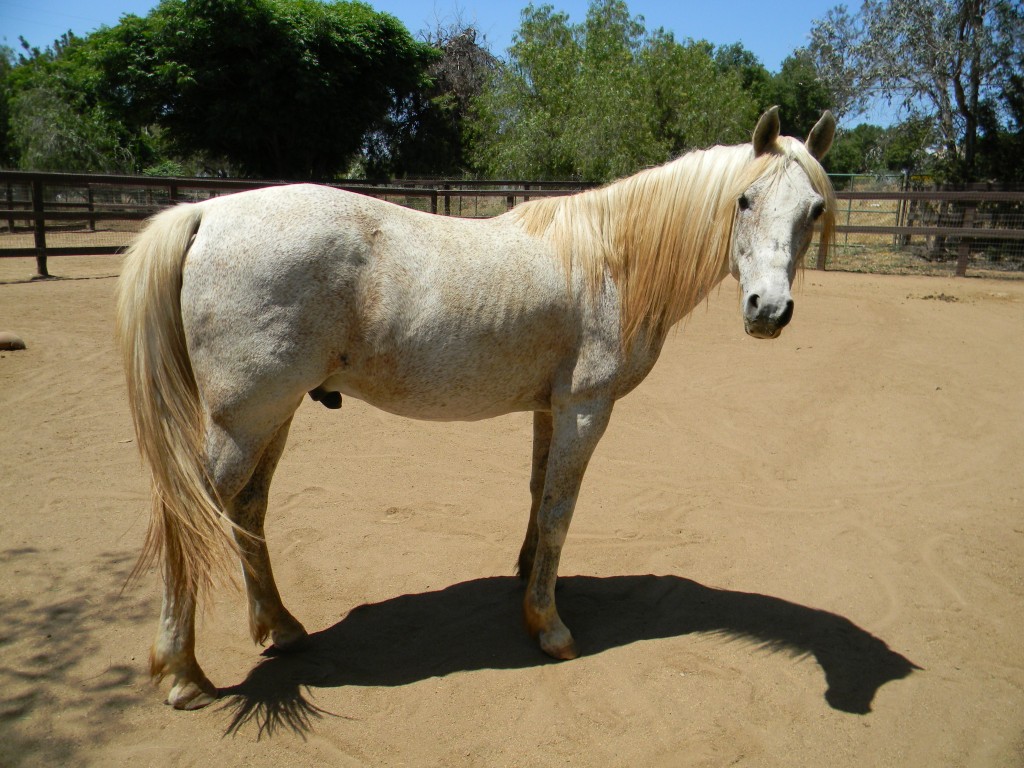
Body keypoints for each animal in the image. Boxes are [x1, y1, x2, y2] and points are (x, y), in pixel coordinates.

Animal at [116, 107, 836, 709]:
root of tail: (207, 215)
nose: (769, 311)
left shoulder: (551, 408)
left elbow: (539, 496)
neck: (611, 260)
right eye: (744, 199)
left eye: (814, 209)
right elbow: (560, 511)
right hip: (242, 424)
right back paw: (184, 674)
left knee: (247, 511)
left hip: (274, 416)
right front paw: (548, 626)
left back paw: (282, 627)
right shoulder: (586, 408)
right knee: (187, 519)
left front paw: (529, 583)